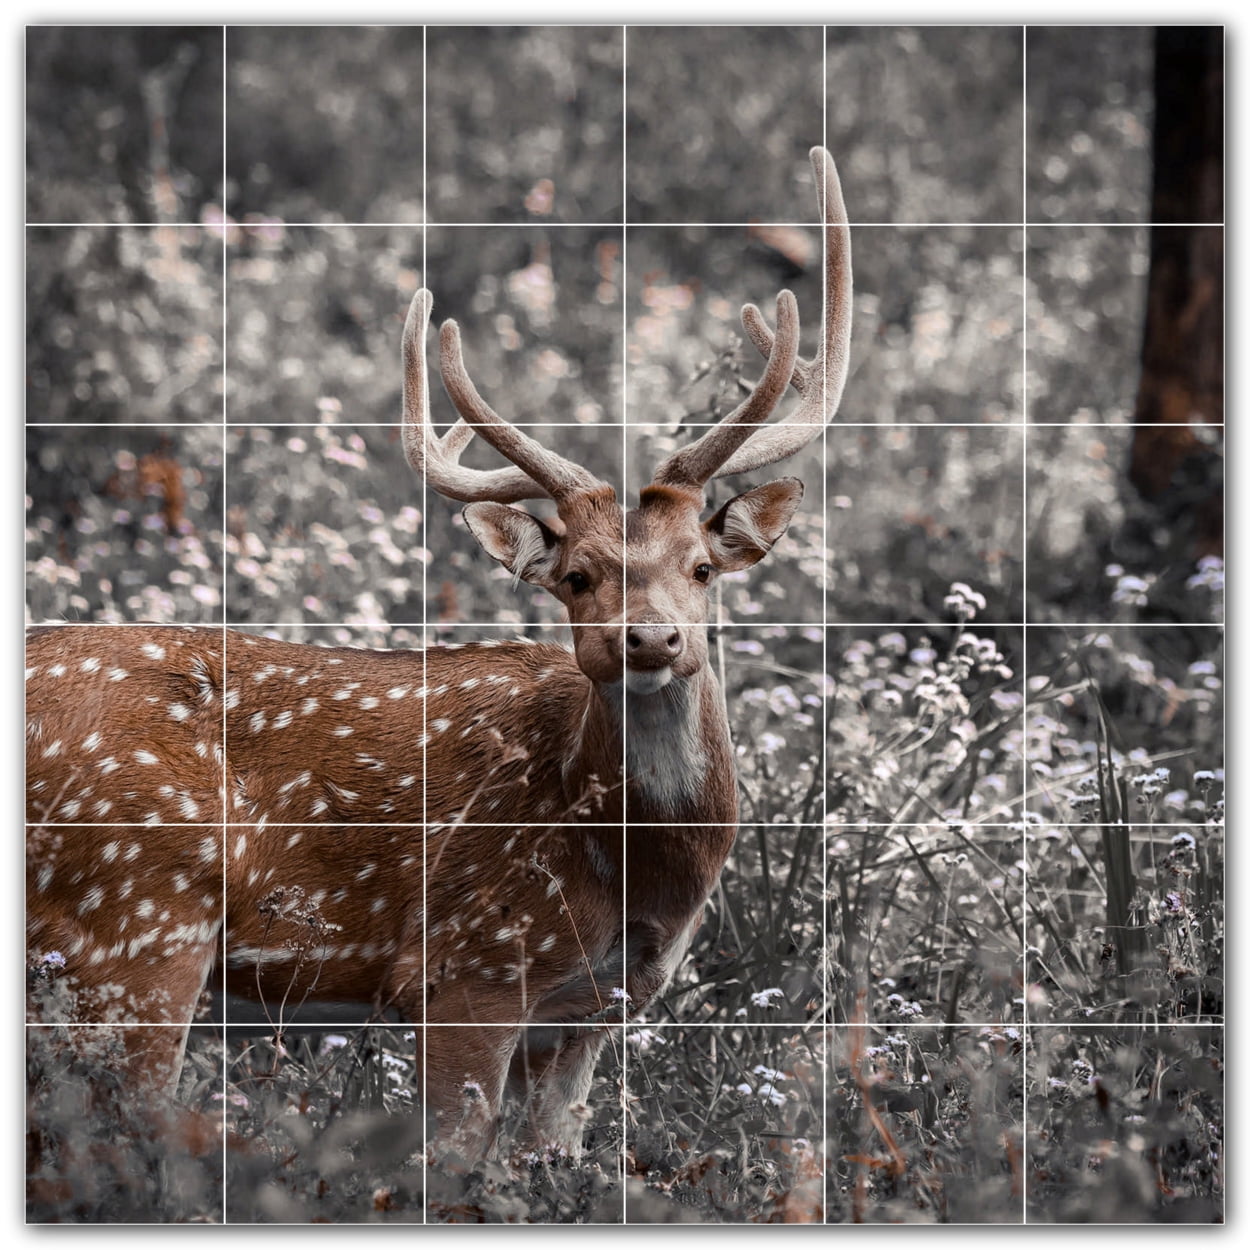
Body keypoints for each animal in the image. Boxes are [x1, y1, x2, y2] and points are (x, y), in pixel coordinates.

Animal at [25, 146, 851, 1166]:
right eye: (575, 577)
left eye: (702, 568)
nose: (650, 637)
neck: (629, 873)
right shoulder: (469, 968)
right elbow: (453, 1165)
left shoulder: (589, 1013)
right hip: (139, 920)